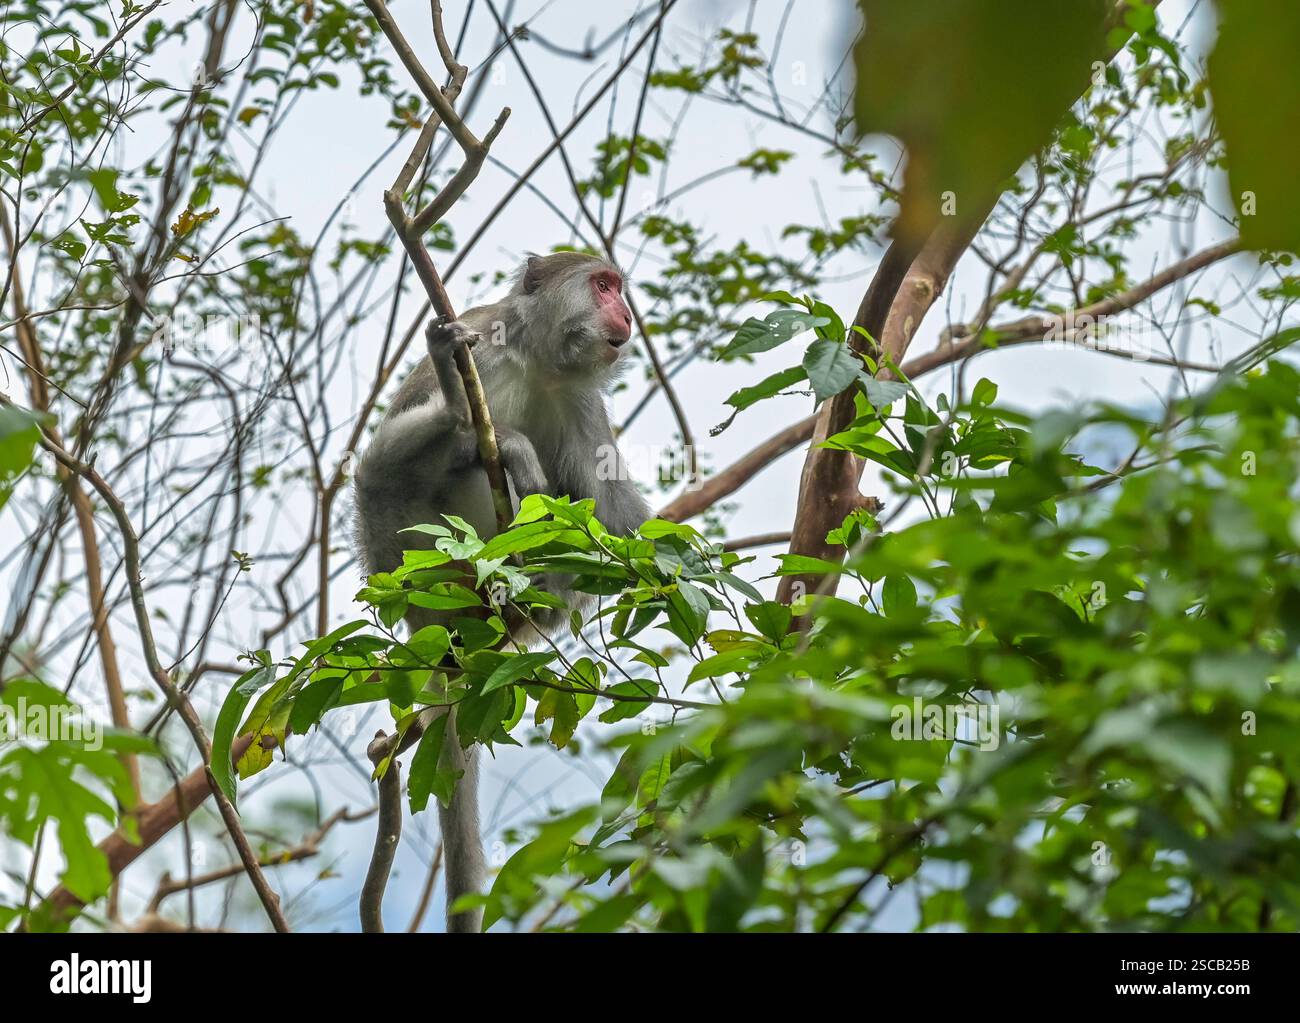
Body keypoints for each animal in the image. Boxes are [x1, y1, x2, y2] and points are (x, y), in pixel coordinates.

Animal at [352, 251, 653, 932]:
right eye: (603, 286)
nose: (625, 313)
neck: (538, 362)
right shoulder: (482, 342)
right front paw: (476, 422)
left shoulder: (581, 404)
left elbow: (609, 525)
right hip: (399, 556)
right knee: (385, 472)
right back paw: (461, 415)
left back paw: (526, 590)